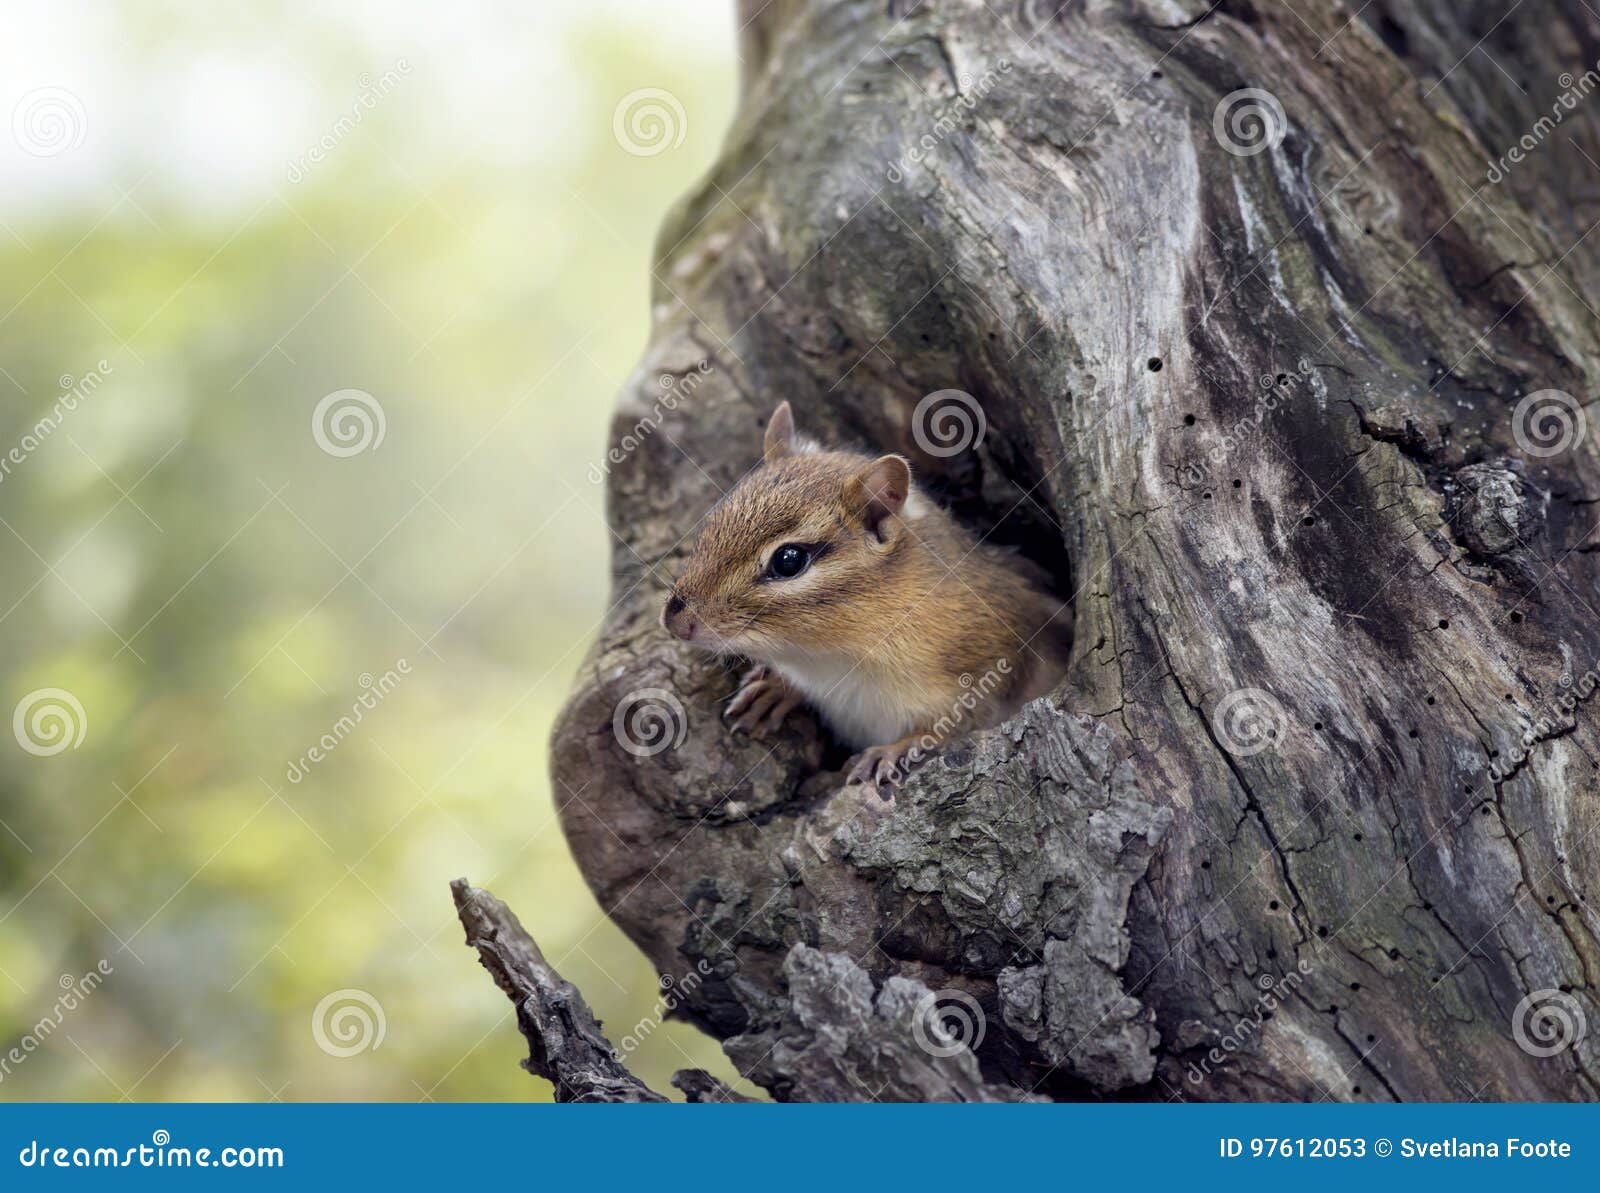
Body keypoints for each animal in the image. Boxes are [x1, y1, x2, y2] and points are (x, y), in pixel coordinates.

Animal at [662, 401, 1072, 789]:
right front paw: (775, 688)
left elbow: (963, 718)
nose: (674, 620)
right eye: (712, 521)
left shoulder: (996, 657)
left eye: (788, 560)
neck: (837, 658)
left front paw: (897, 747)